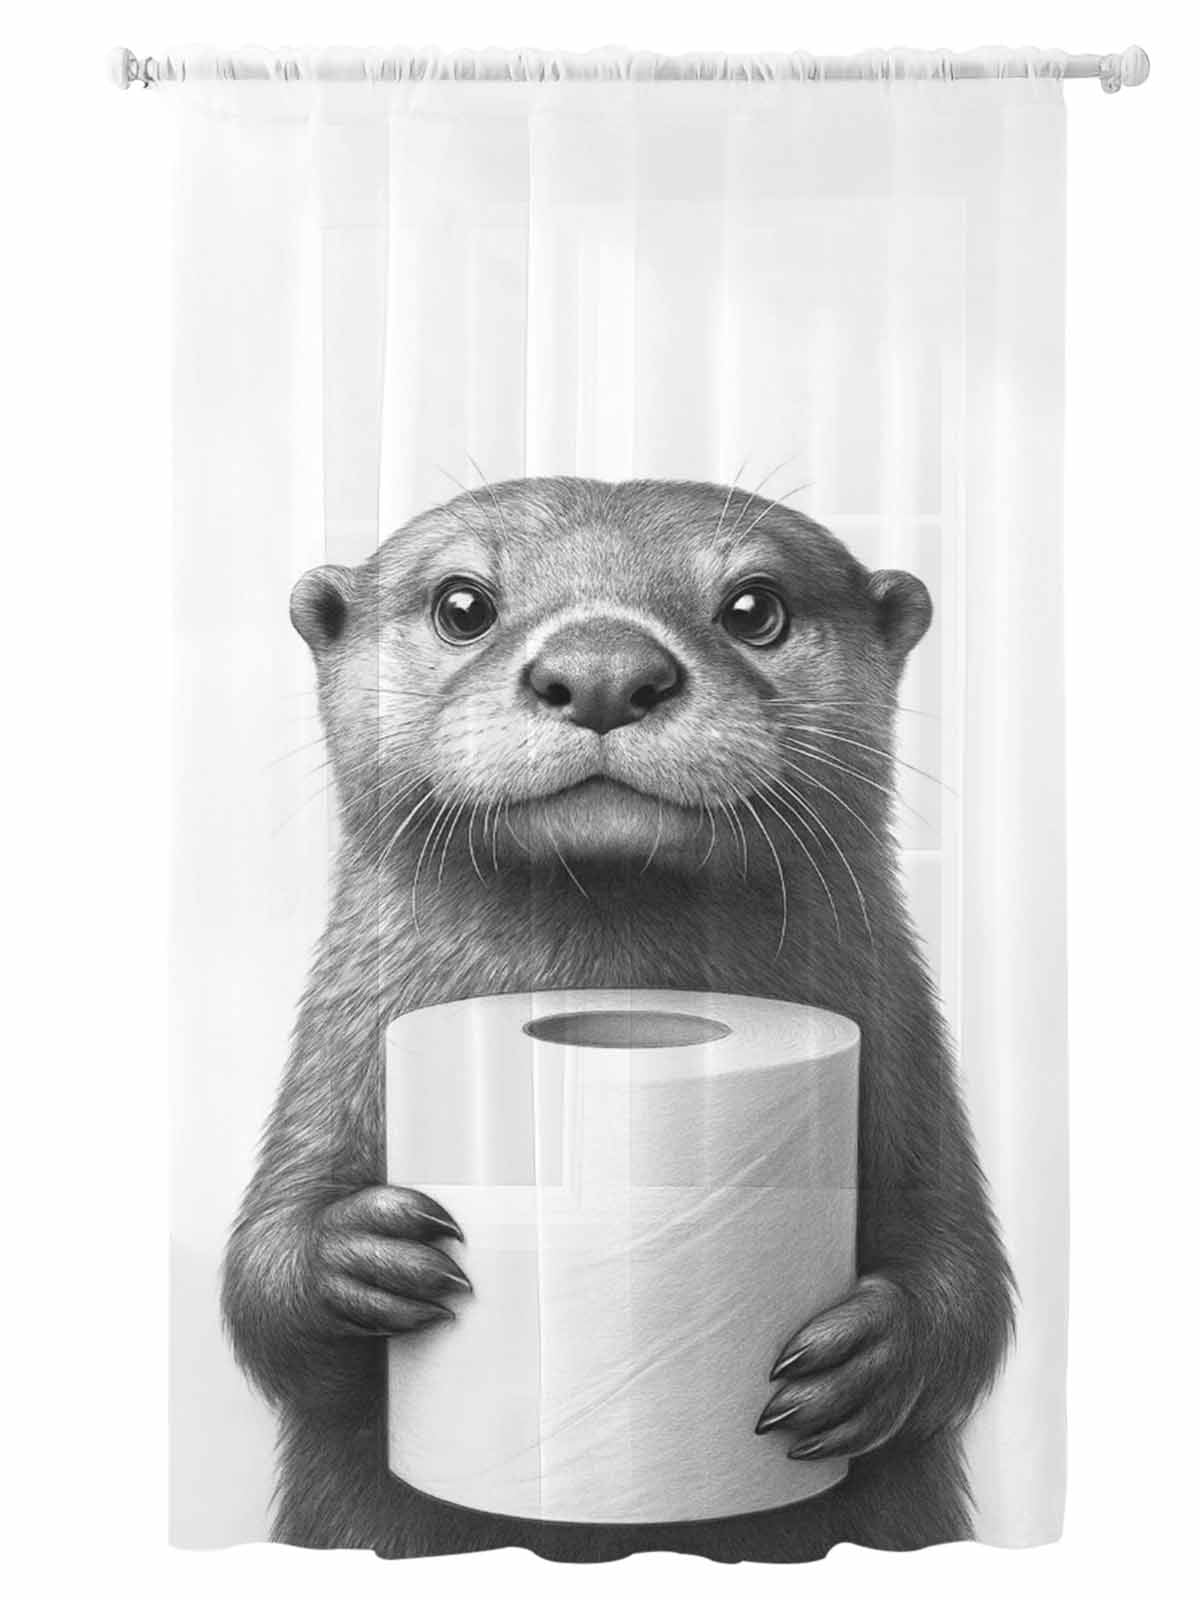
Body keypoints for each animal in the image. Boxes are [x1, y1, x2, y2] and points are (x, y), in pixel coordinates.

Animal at [222, 476, 1013, 1561]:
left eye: (754, 606)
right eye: (463, 604)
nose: (603, 672)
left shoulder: (909, 1069)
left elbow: (967, 1275)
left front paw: (870, 1356)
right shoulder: (331, 1065)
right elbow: (260, 1275)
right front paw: (358, 1257)